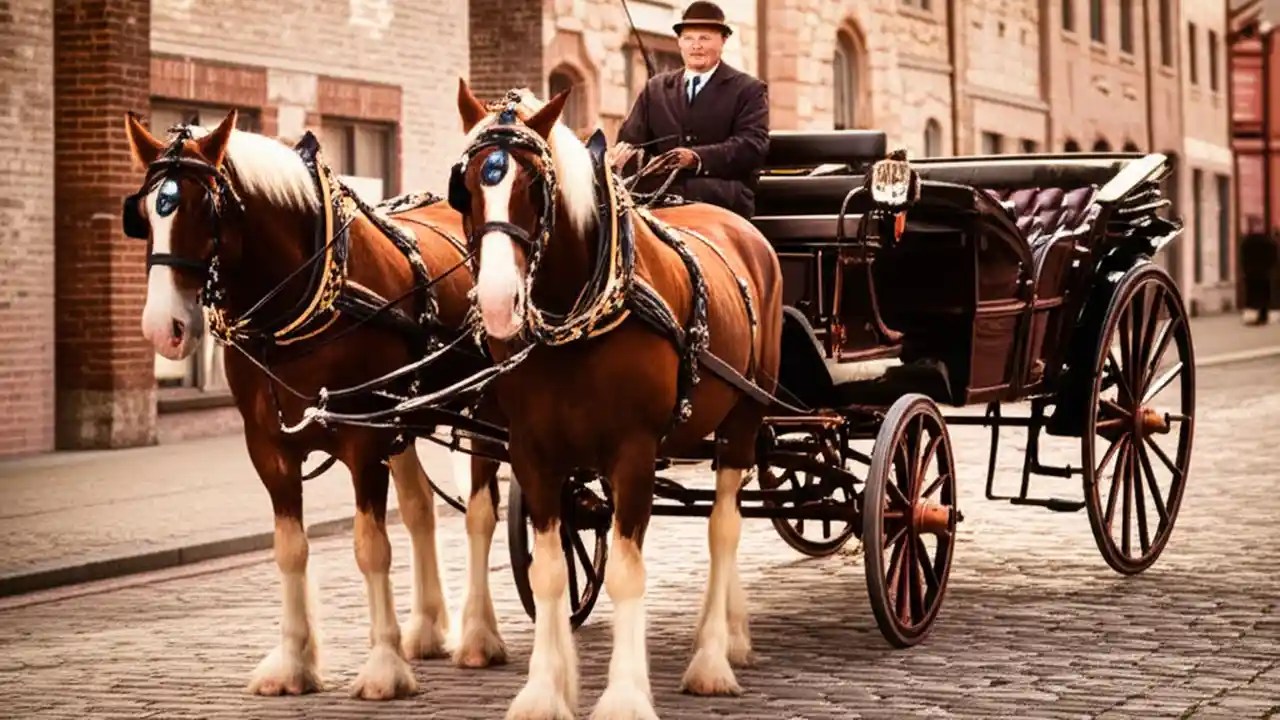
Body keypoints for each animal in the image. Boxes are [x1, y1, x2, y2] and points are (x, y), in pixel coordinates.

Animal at [122, 110, 510, 700]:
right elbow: (290, 548)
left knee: (481, 515)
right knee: (420, 510)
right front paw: (292, 664)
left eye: (201, 208)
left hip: (479, 410)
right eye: (143, 214)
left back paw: (478, 637)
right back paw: (425, 630)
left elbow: (371, 547)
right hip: (405, 415)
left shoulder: (362, 439)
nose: (164, 328)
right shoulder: (269, 447)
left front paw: (383, 668)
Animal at [450, 80, 783, 719]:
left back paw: (712, 658)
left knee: (723, 527)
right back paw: (735, 636)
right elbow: (550, 570)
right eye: (466, 185)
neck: (578, 317)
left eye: (536, 186)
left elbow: (630, 572)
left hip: (745, 417)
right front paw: (544, 690)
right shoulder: (533, 452)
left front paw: (625, 696)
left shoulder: (634, 452)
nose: (499, 304)